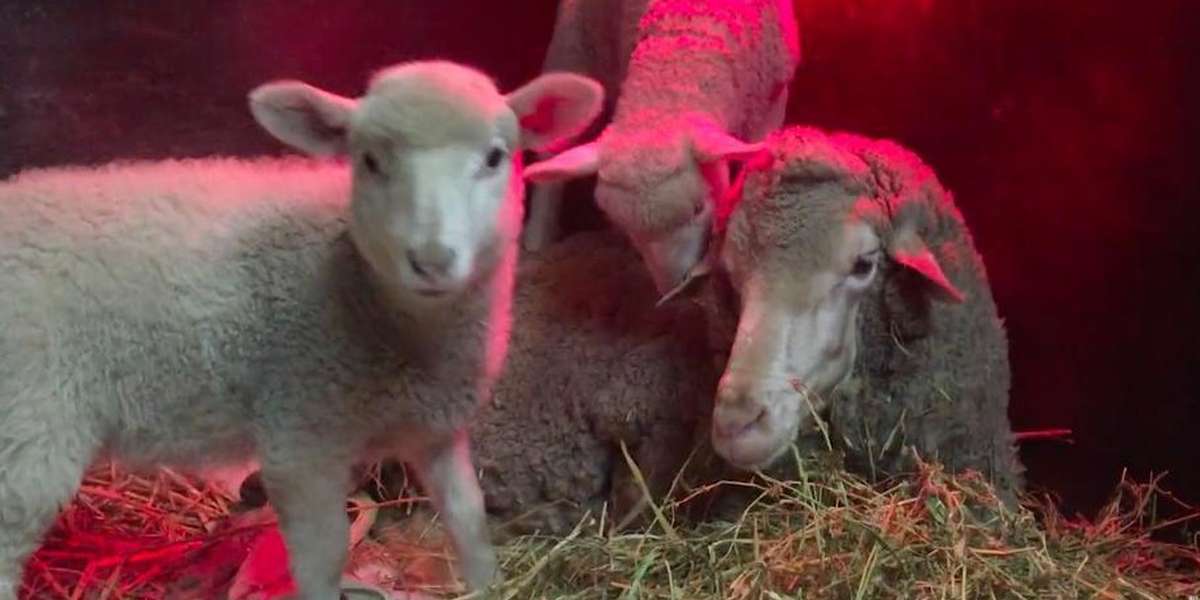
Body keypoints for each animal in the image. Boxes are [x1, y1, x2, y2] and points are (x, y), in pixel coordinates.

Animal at [0, 60, 603, 600]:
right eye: (370, 161)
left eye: (495, 157)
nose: (431, 261)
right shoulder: (302, 432)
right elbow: (323, 555)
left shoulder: (436, 424)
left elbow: (468, 520)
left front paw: (491, 584)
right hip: (30, 423)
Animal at [521, 0, 802, 301]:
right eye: (629, 228)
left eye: (698, 208)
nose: (677, 290)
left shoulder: (773, 99)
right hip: (575, 38)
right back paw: (537, 238)